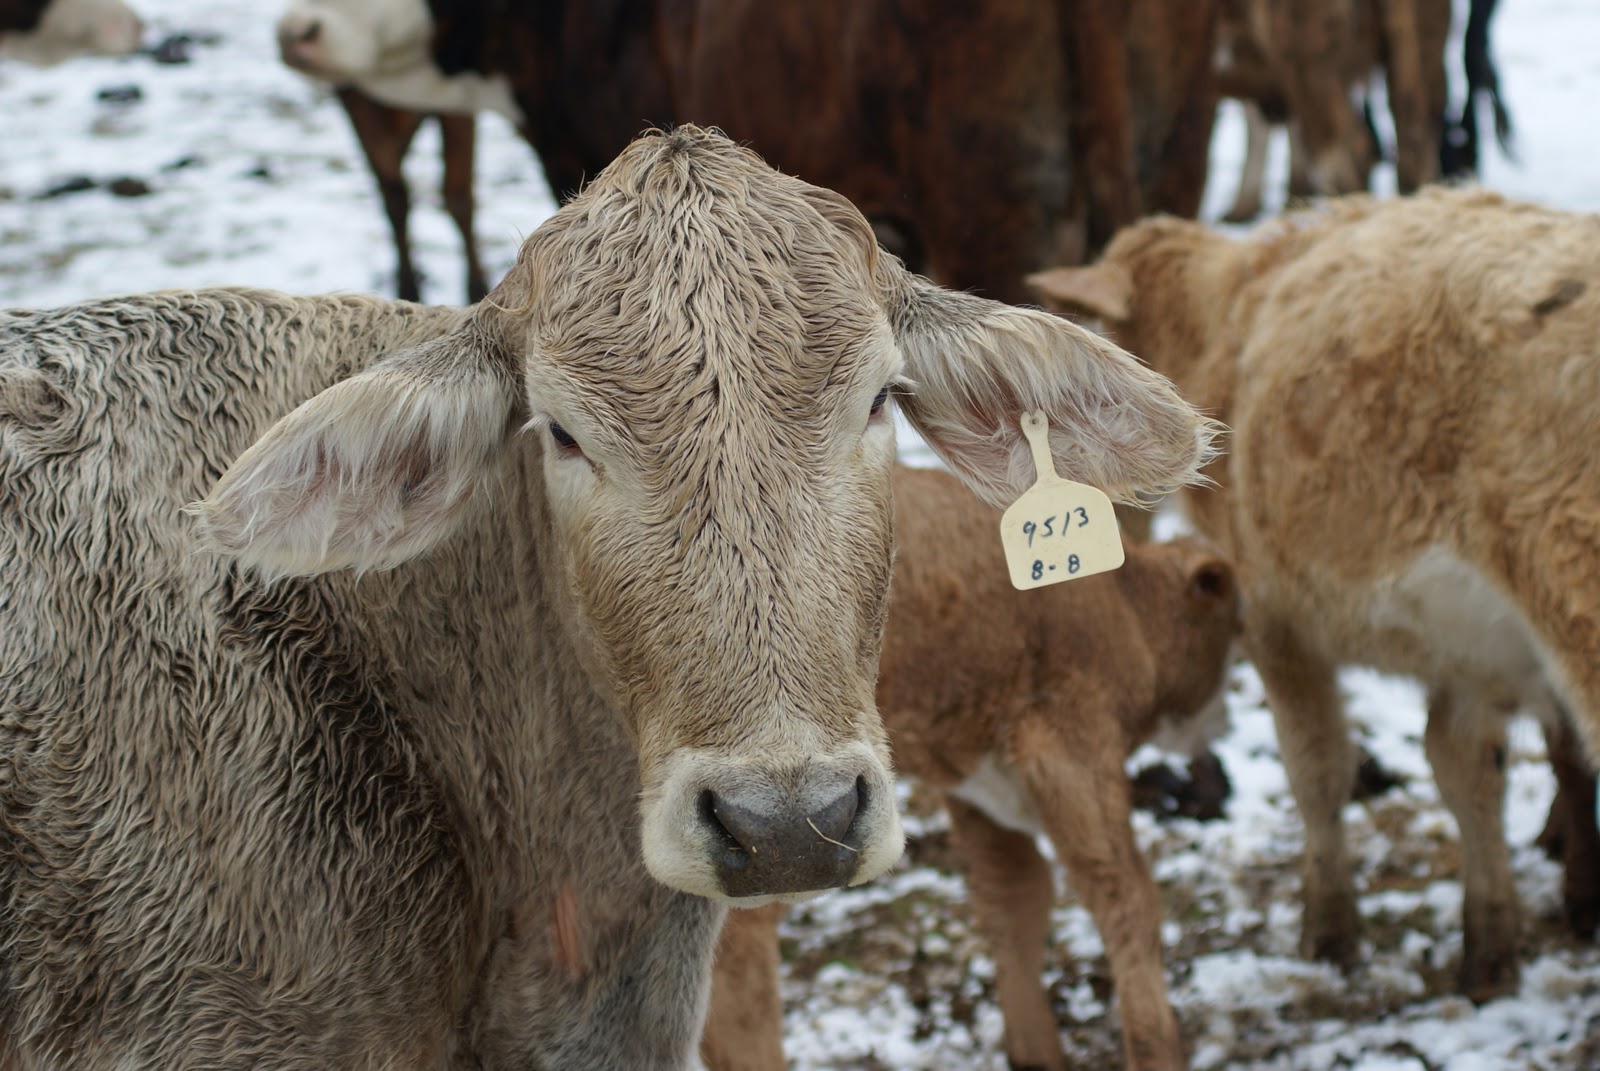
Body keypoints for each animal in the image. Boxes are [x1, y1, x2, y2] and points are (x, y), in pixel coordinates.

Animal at [698, 466, 1241, 1071]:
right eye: (1232, 631)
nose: (1222, 735)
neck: (1121, 610)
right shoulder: (1070, 742)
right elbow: (1126, 897)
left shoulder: (979, 783)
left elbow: (1015, 897)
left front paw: (1036, 1054)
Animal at [1027, 186, 1600, 1003]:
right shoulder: (1466, 649)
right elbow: (1466, 773)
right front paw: (1490, 945)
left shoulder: (1272, 618)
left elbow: (1317, 767)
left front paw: (1328, 925)